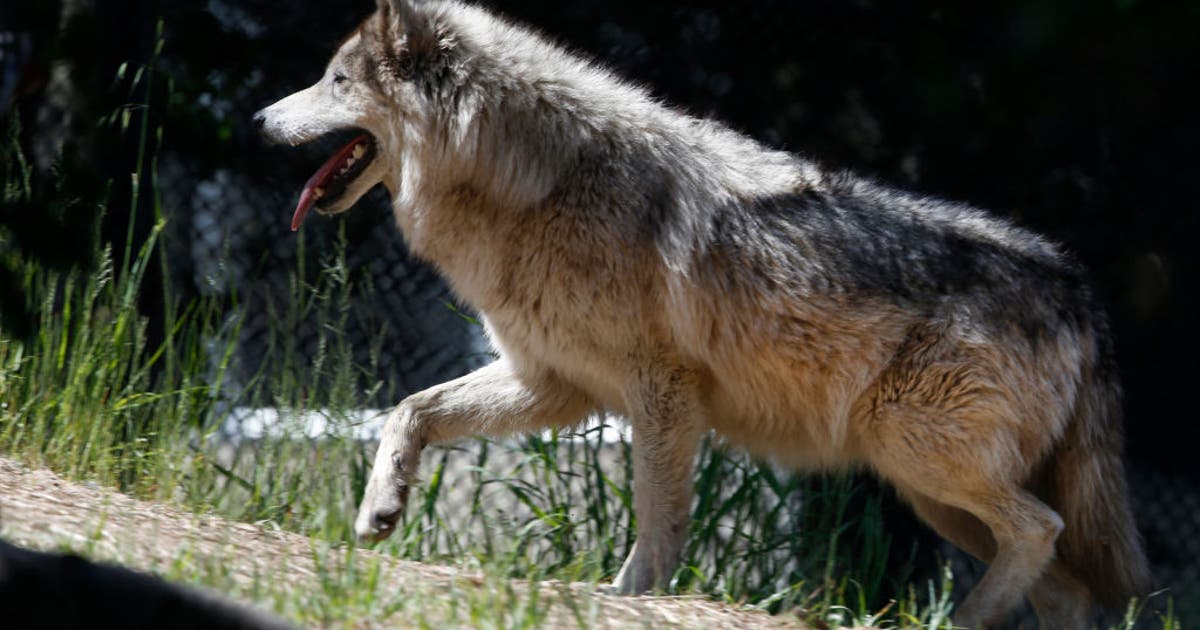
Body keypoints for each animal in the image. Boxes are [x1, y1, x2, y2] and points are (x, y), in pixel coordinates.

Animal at [253, 1, 1151, 627]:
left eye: (335, 81)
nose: (259, 120)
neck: (540, 183)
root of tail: (1077, 285)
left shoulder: (662, 393)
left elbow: (658, 519)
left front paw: (628, 599)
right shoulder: (553, 384)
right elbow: (409, 410)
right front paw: (380, 508)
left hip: (919, 460)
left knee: (1041, 532)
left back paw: (961, 620)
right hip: (932, 493)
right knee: (1063, 579)